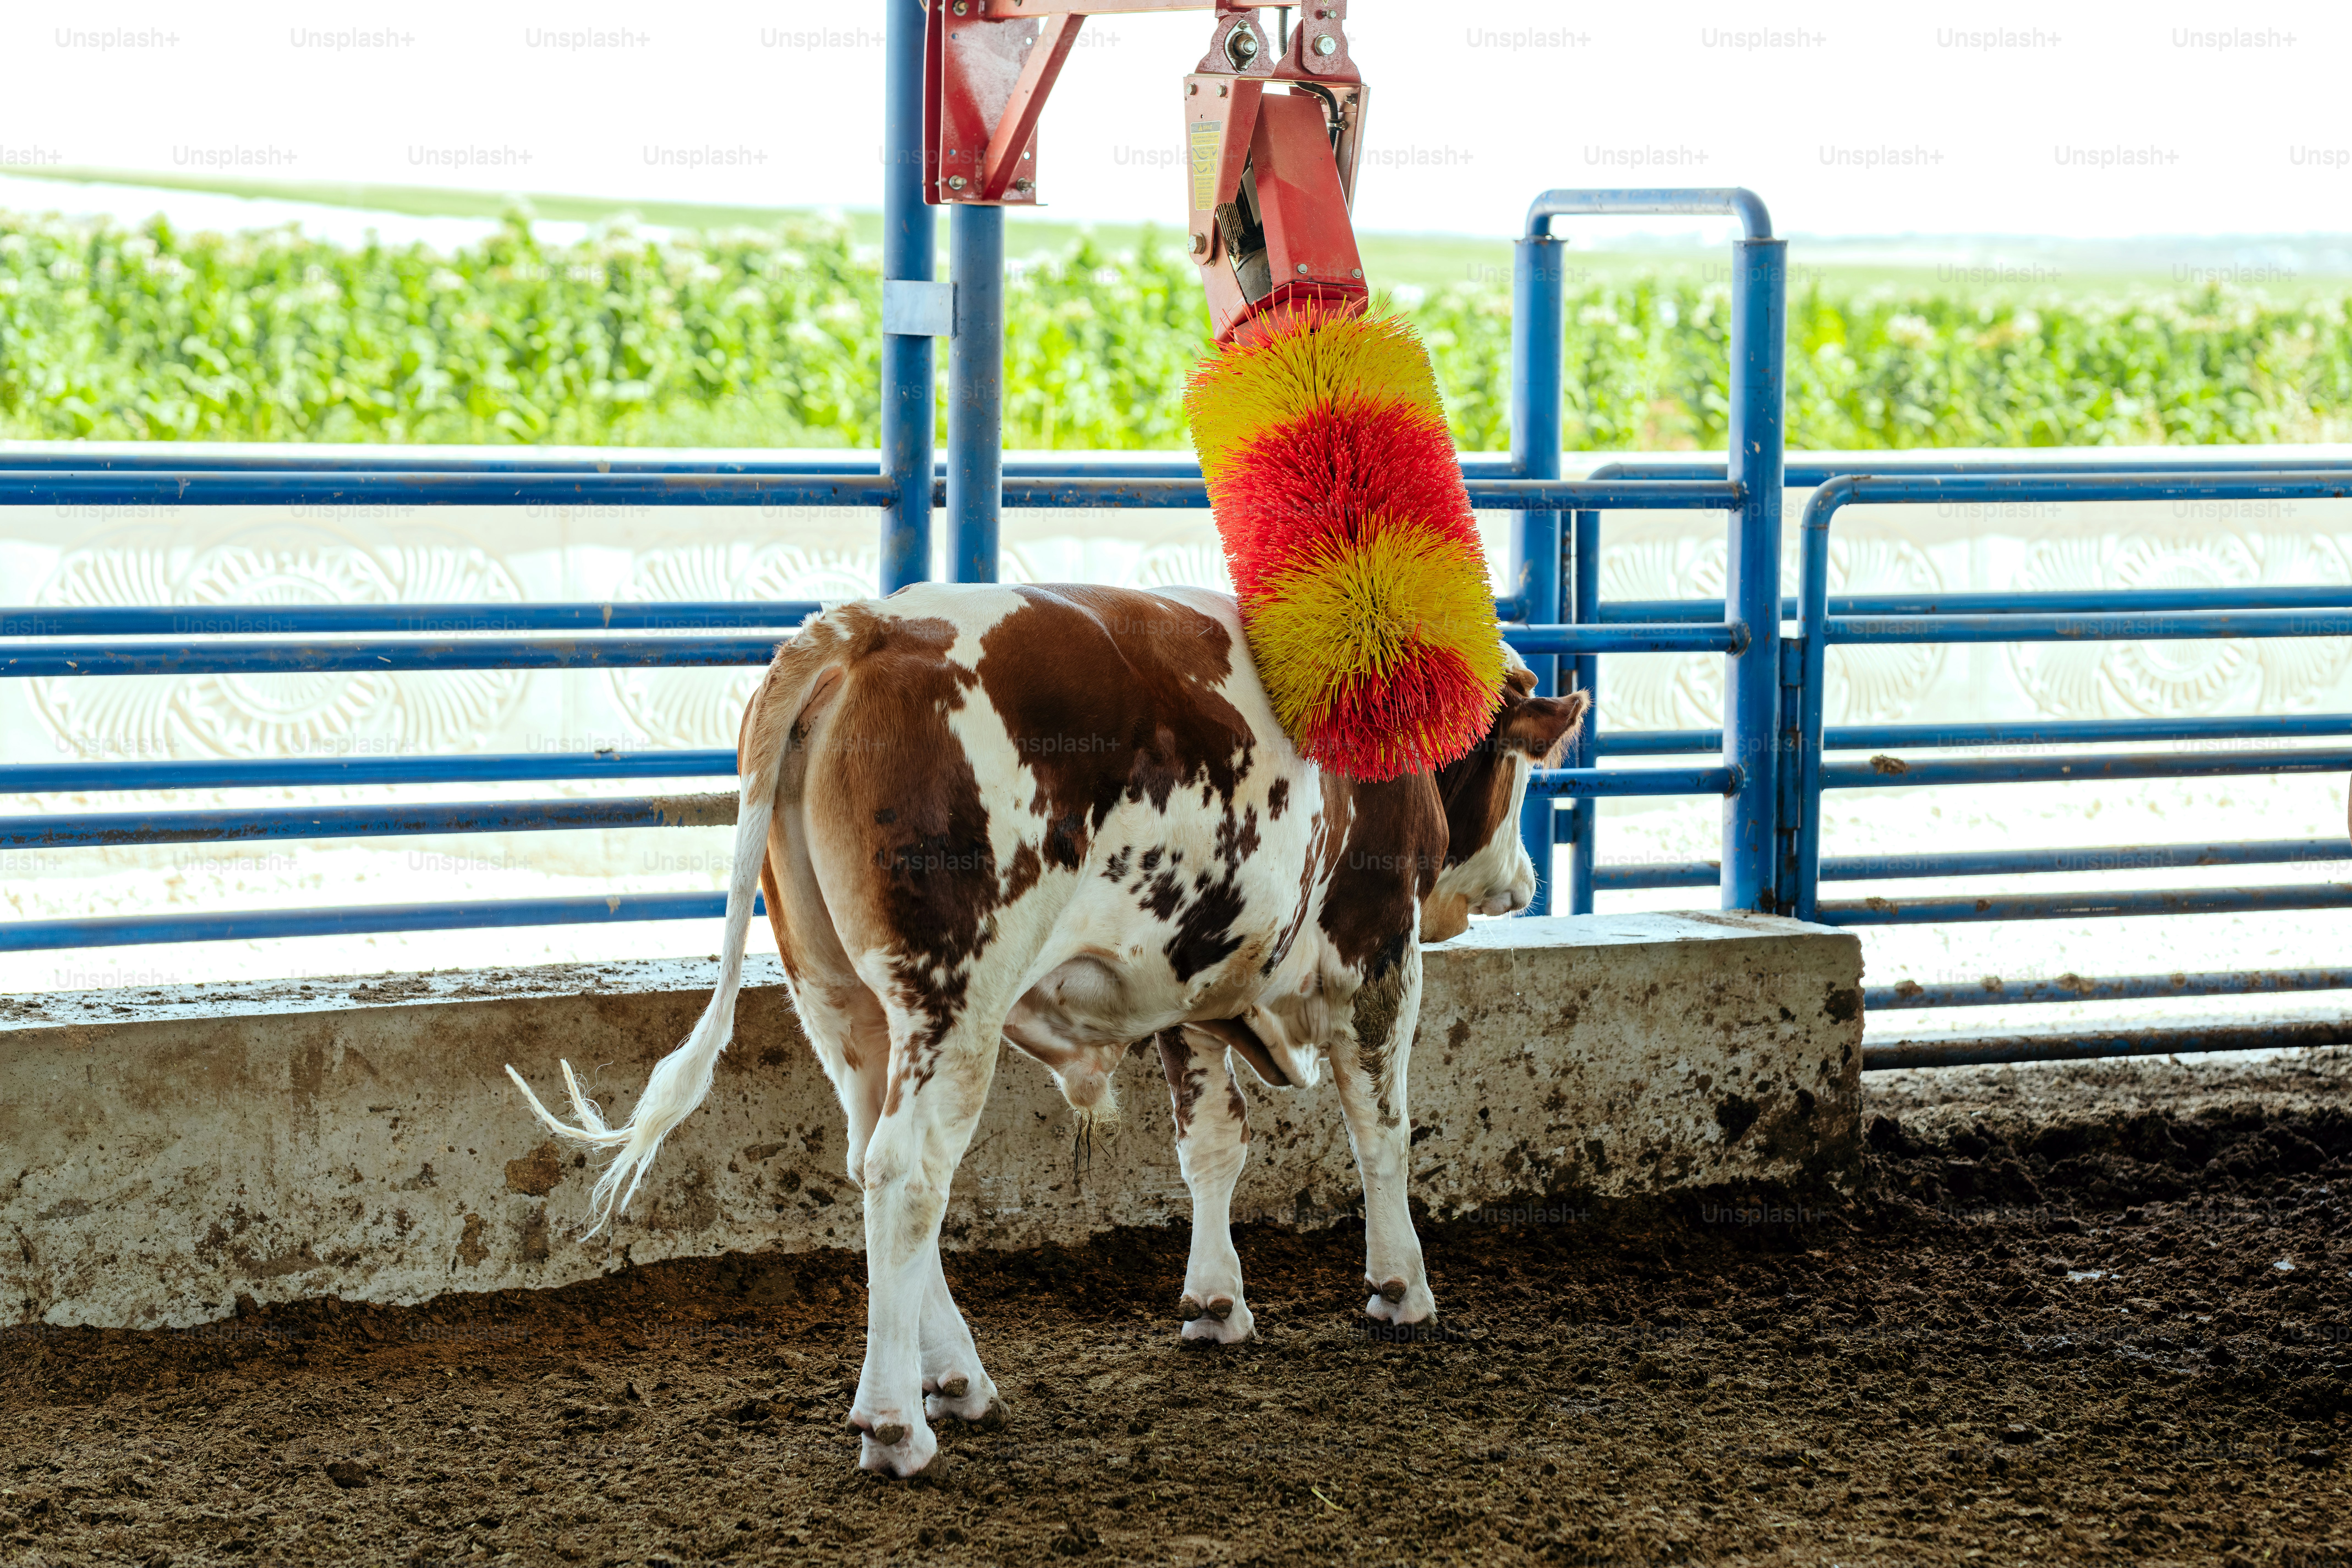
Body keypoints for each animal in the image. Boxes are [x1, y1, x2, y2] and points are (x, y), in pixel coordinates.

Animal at [509, 582, 1585, 1476]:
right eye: (1517, 764)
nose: (1524, 879)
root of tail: (860, 631)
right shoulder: (1377, 945)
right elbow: (1381, 1128)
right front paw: (1399, 1288)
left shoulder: (1190, 976)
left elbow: (1212, 1142)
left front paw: (1214, 1300)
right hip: (954, 998)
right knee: (908, 1173)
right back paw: (896, 1421)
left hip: (841, 1000)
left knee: (871, 1162)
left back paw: (956, 1377)